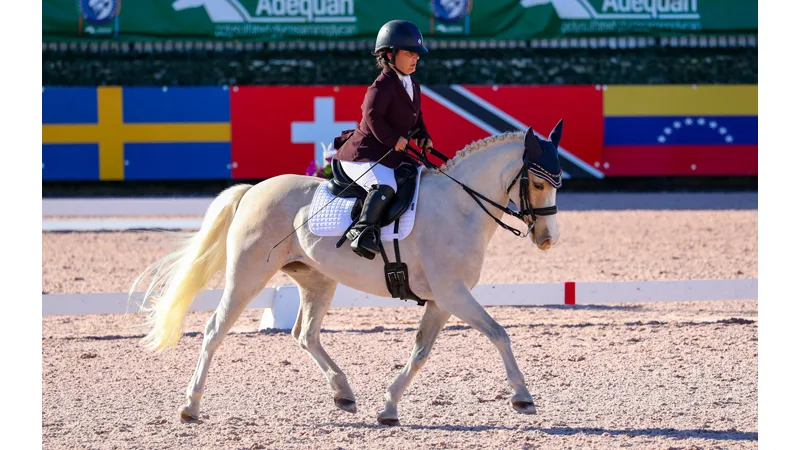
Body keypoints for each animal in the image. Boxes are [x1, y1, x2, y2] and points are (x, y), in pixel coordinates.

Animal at [131, 122, 564, 426]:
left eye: (558, 183)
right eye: (537, 181)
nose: (548, 239)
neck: (461, 206)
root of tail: (253, 189)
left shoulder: (442, 300)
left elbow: (421, 352)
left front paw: (388, 408)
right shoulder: (453, 293)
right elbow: (498, 333)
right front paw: (523, 397)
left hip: (317, 279)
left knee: (305, 334)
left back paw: (343, 393)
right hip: (248, 274)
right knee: (215, 330)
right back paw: (190, 406)